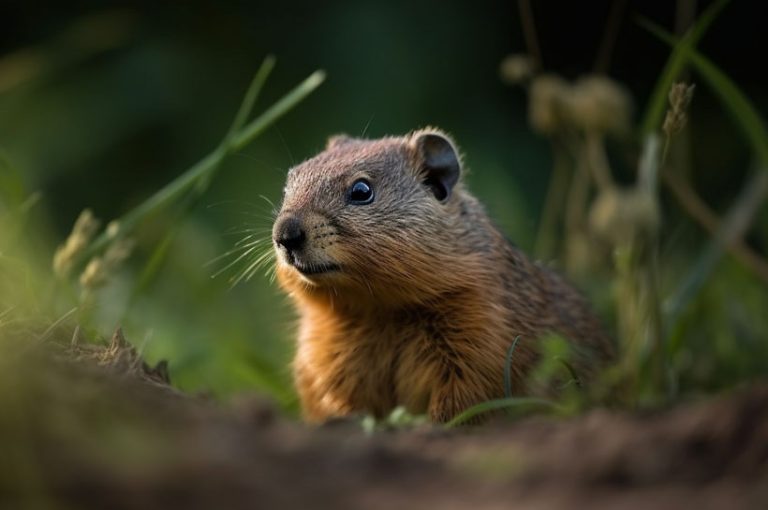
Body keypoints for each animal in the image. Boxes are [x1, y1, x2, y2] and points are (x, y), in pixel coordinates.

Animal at [272, 128, 613, 423]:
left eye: (361, 191)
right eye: (289, 184)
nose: (285, 234)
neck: (381, 312)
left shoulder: (482, 337)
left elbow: (464, 399)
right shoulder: (326, 358)